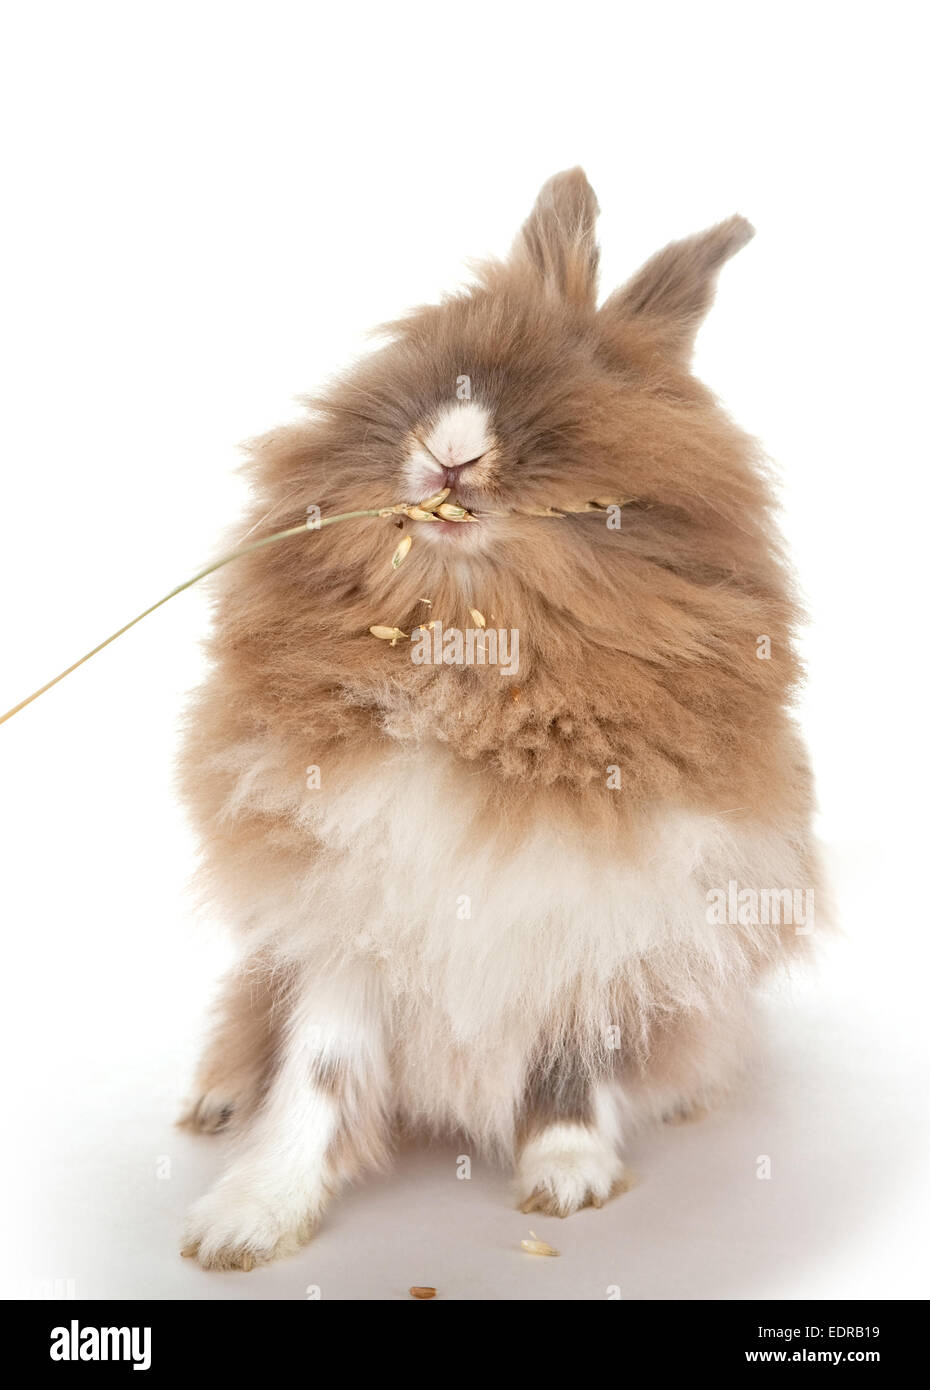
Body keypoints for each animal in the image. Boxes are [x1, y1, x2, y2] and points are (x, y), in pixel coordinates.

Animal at [177, 168, 820, 1270]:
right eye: (456, 369)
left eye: (594, 396)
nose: (453, 456)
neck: (470, 673)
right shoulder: (342, 910)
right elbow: (319, 1073)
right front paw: (247, 1220)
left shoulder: (596, 920)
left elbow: (573, 1062)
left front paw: (568, 1177)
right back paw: (217, 1103)